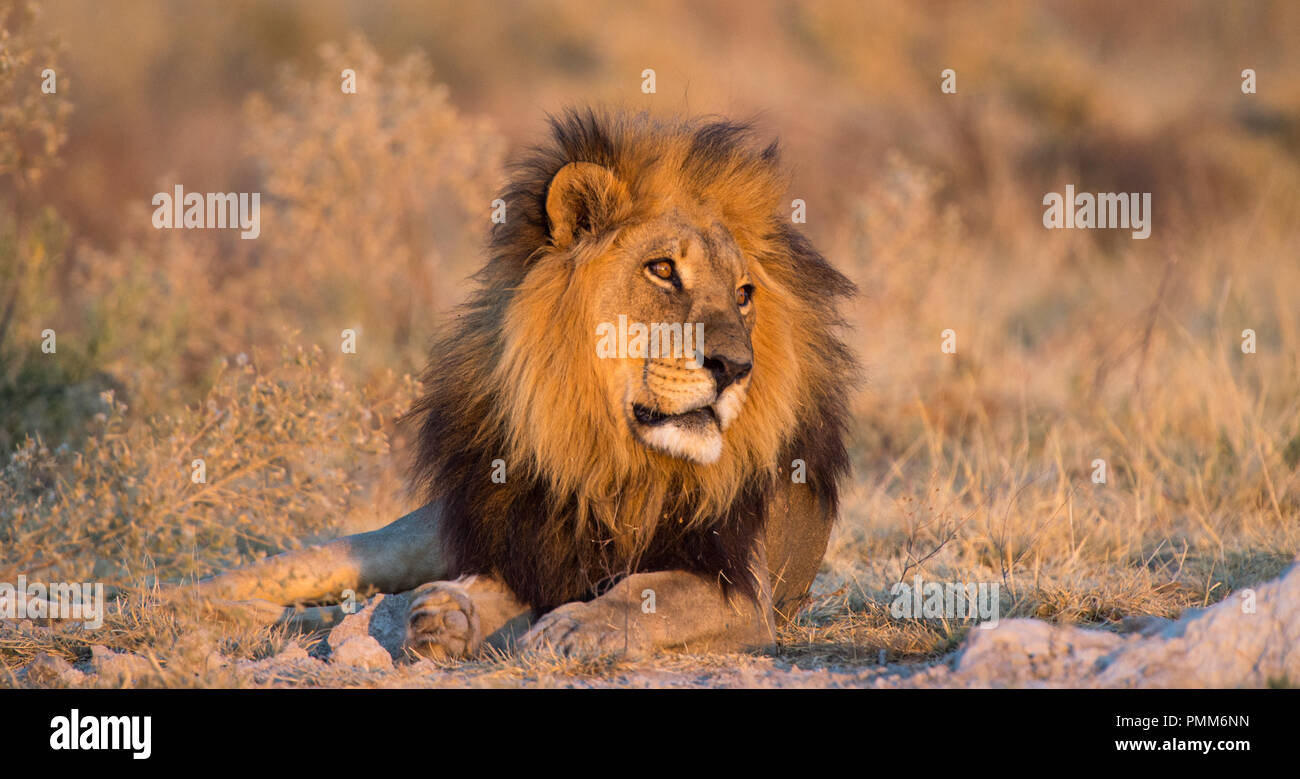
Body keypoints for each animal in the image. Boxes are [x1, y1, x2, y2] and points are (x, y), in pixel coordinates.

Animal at [192, 108, 857, 660]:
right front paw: (449, 612)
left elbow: (650, 591)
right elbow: (486, 585)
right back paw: (192, 602)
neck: (606, 453)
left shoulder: (742, 591)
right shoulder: (520, 544)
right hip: (418, 534)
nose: (737, 367)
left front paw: (573, 626)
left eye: (744, 295)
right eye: (663, 269)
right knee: (307, 565)